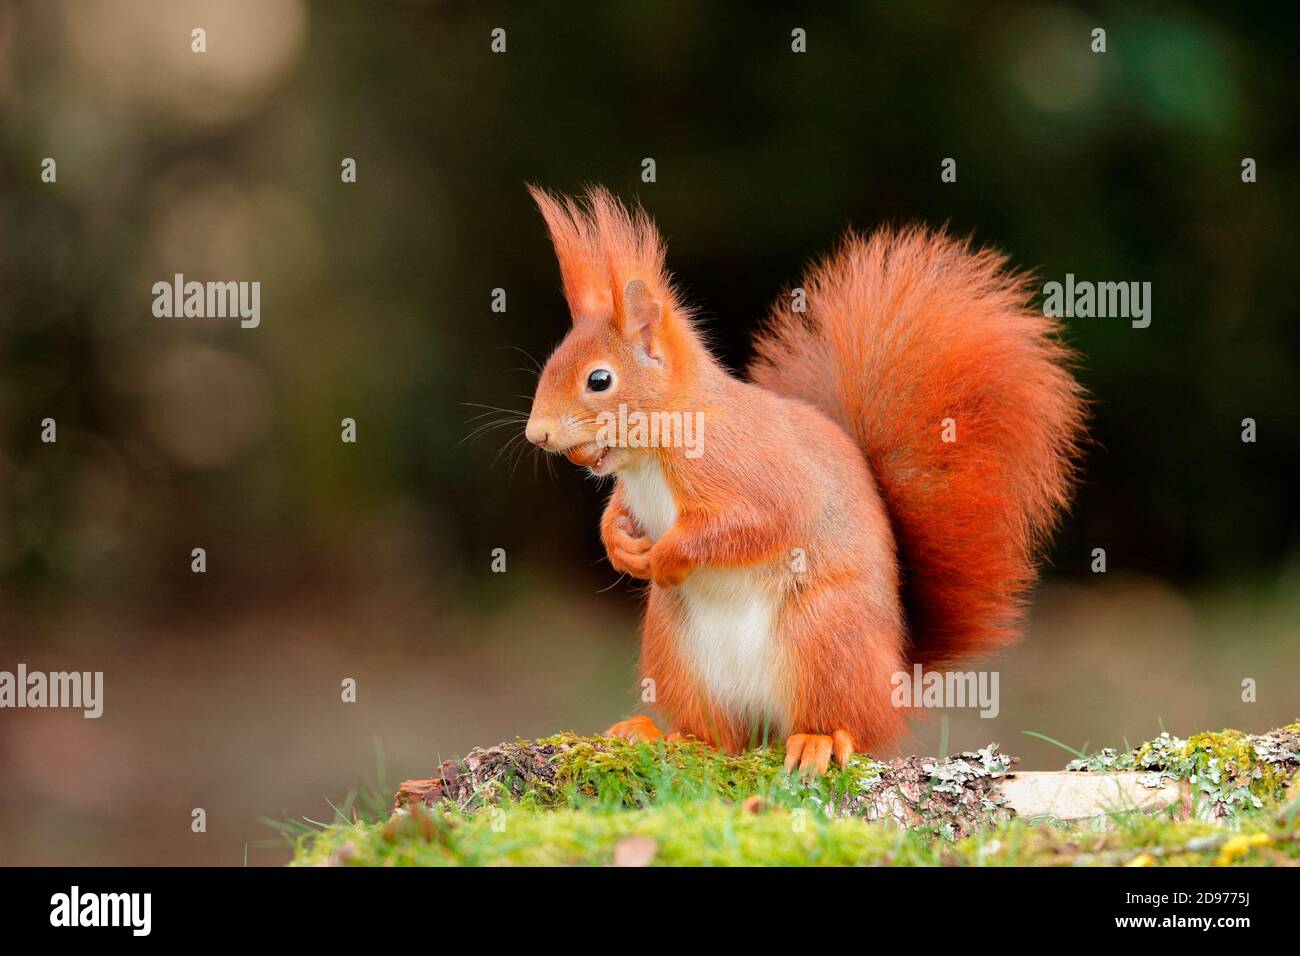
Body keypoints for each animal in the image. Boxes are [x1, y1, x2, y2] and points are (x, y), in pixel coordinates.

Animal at [523, 185, 1085, 775]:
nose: (537, 434)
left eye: (599, 380)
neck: (655, 450)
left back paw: (817, 740)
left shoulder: (751, 472)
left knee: (843, 723)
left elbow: (754, 524)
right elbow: (618, 514)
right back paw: (662, 736)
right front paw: (620, 545)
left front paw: (667, 556)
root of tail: (893, 681)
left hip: (822, 636)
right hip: (676, 651)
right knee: (721, 739)